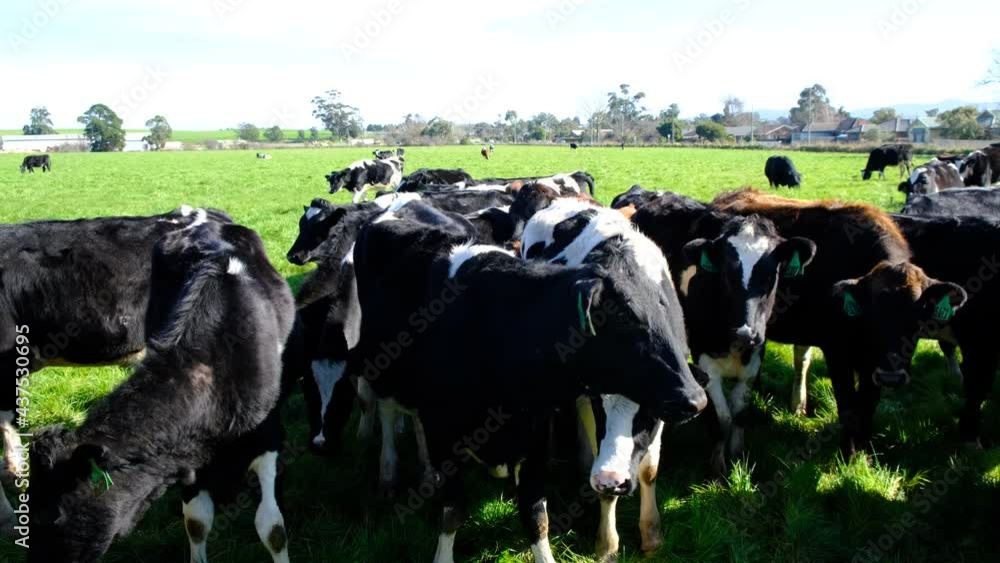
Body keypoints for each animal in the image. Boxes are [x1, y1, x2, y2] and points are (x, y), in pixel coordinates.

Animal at [349, 208, 706, 562]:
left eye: (668, 315)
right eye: (626, 319)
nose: (694, 397)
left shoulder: (536, 438)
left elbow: (537, 514)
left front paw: (648, 535)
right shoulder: (445, 432)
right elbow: (452, 512)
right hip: (382, 366)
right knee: (387, 411)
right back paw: (389, 472)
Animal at [611, 186, 815, 471]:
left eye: (771, 275)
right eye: (726, 274)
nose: (746, 333)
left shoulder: (754, 357)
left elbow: (739, 413)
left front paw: (737, 455)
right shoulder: (706, 360)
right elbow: (722, 417)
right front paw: (718, 464)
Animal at [713, 188, 915, 458]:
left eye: (917, 318)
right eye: (874, 317)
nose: (892, 377)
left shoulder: (871, 365)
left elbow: (868, 404)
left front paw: (864, 453)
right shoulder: (836, 350)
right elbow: (847, 404)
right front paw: (848, 455)